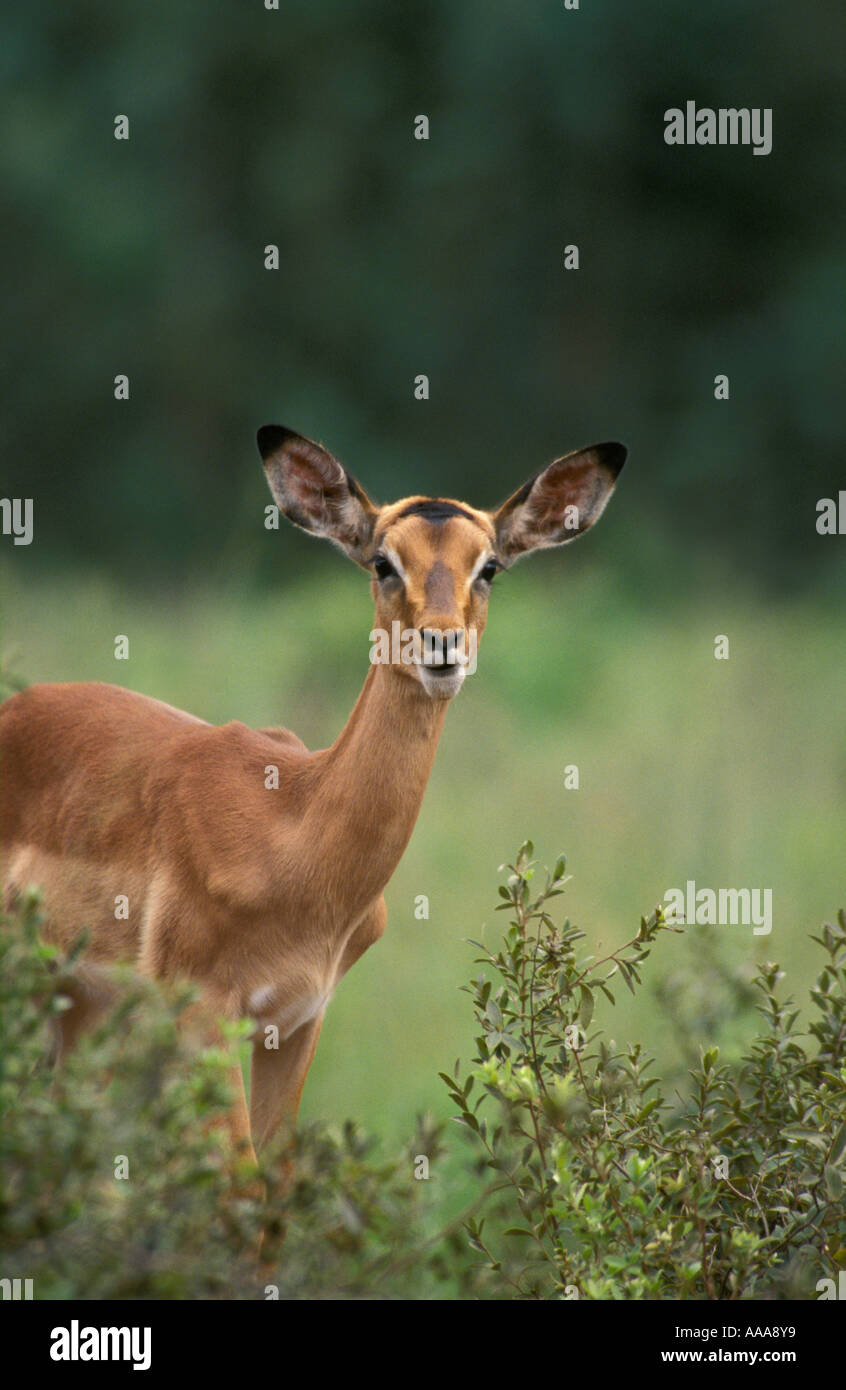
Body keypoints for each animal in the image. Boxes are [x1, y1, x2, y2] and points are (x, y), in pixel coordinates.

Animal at [0, 425, 626, 1166]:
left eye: (490, 566)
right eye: (383, 562)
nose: (442, 646)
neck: (294, 828)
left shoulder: (297, 1020)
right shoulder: (204, 1016)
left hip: (81, 1007)